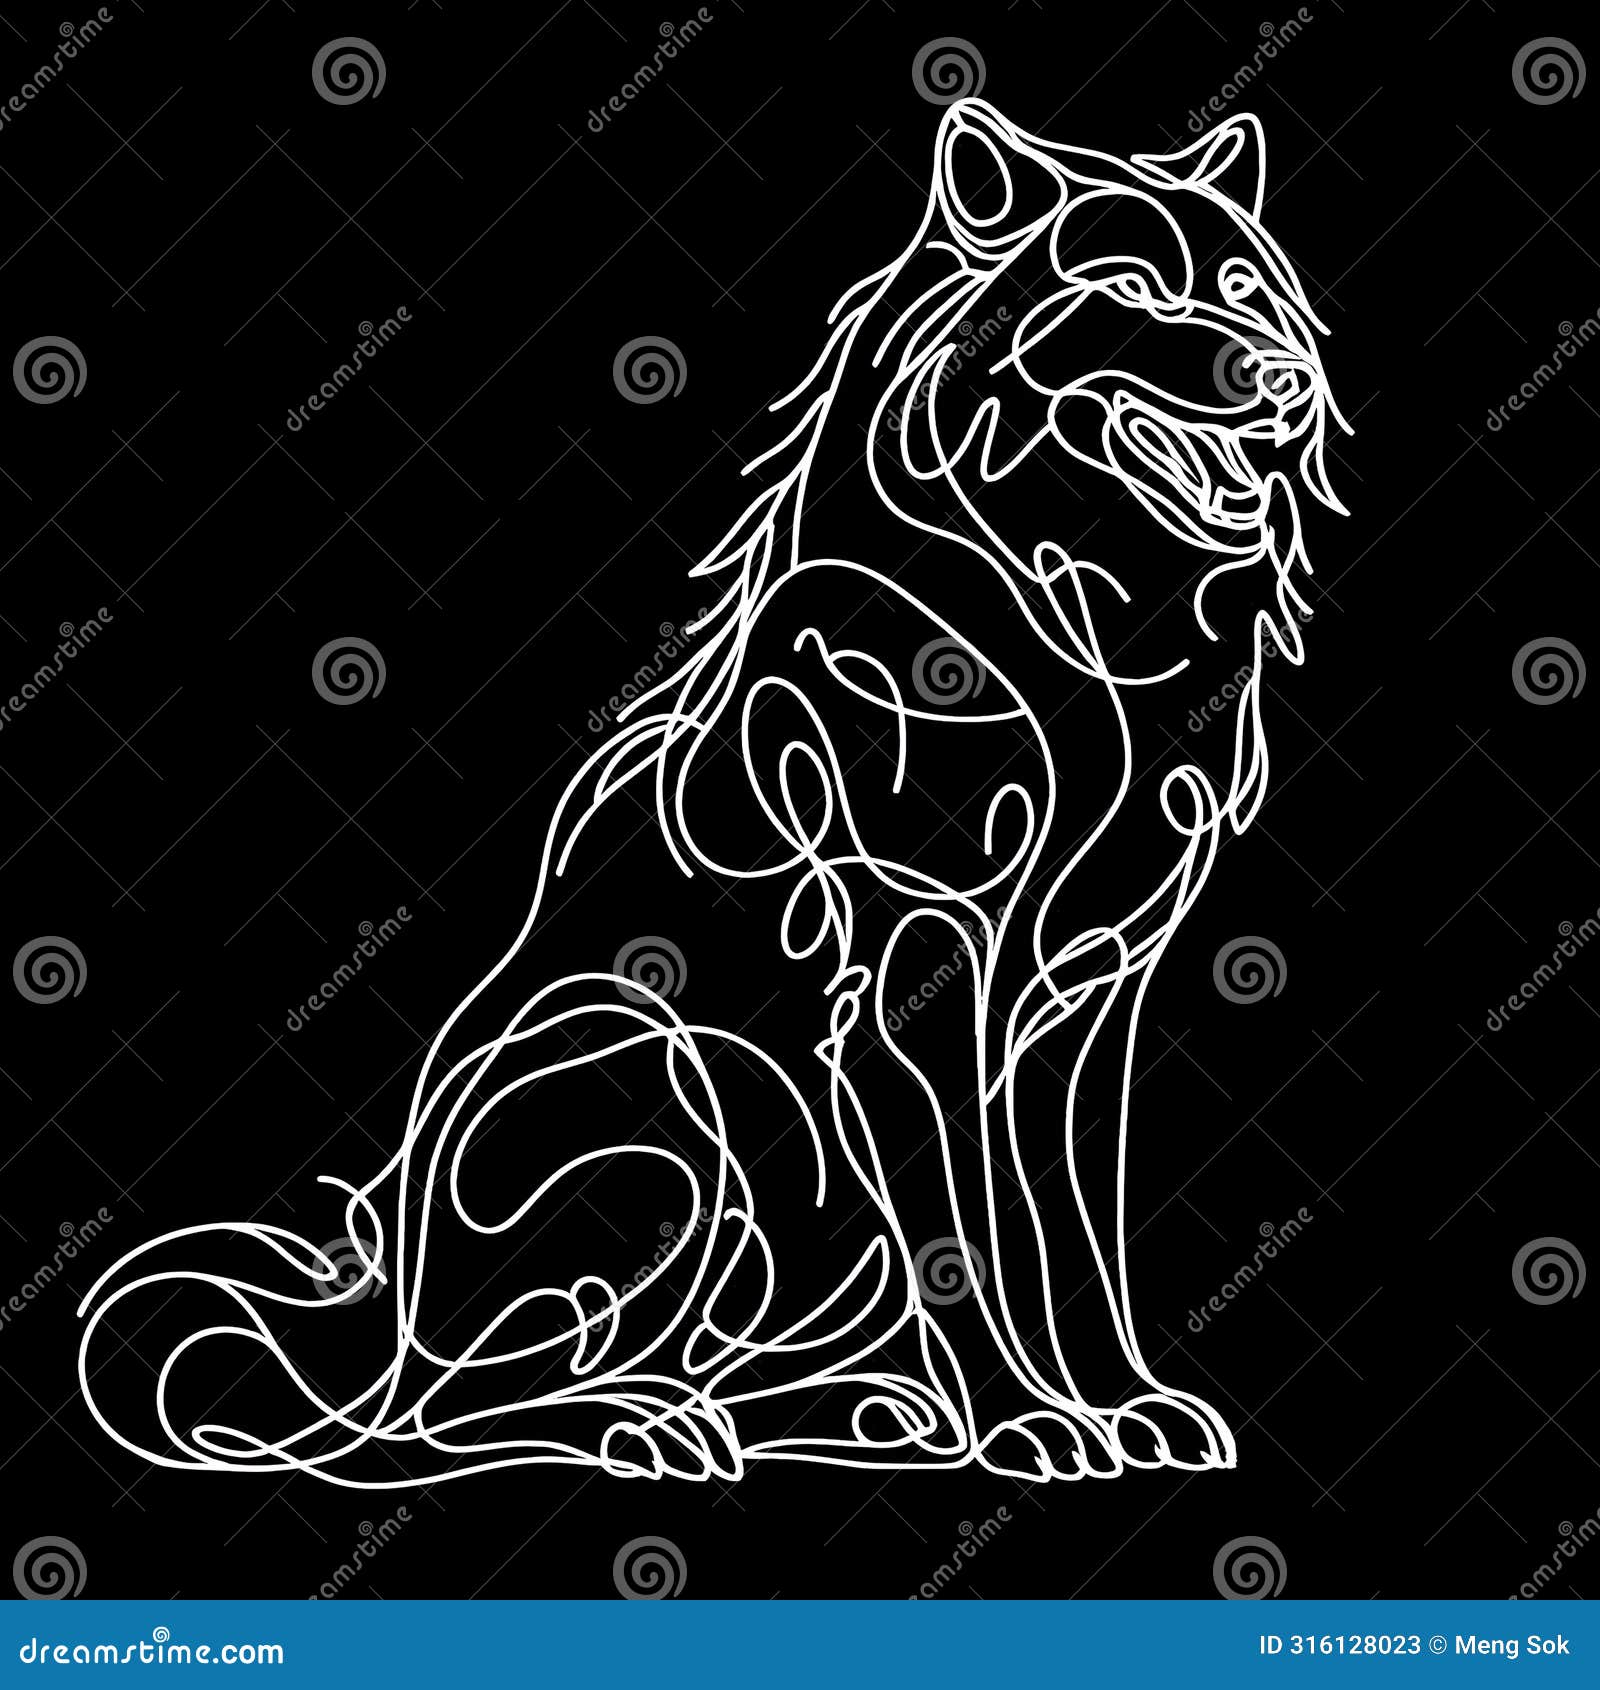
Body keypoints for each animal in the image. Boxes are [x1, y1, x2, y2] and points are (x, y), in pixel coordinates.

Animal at [80, 98, 1347, 1487]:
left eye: (1244, 290)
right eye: (1125, 286)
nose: (1284, 384)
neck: (1071, 638)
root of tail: (384, 1320)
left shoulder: (1092, 1002)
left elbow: (1070, 1233)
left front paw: (1122, 1402)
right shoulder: (918, 976)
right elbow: (973, 1238)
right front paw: (1030, 1422)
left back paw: (850, 1408)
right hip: (656, 1088)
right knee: (425, 1425)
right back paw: (635, 1423)